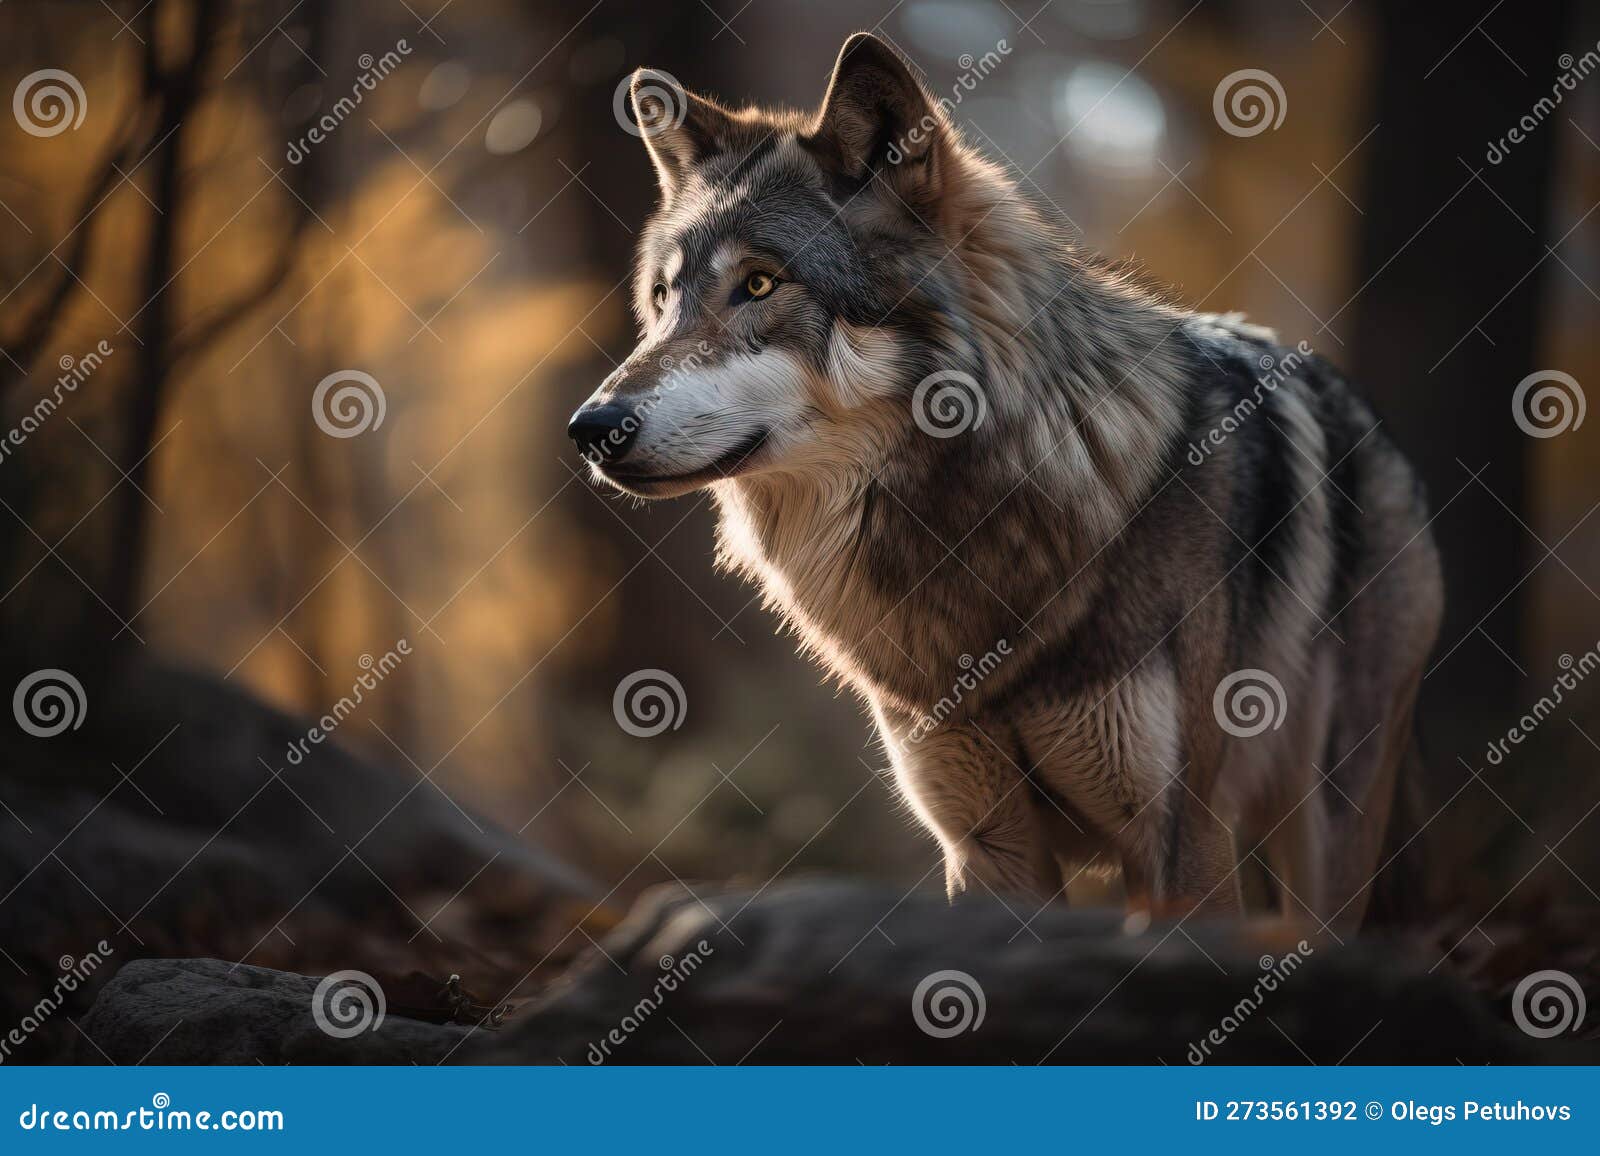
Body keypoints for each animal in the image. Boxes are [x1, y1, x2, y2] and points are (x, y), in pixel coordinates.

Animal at [569, 33, 1443, 926]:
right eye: (663, 298)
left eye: (758, 283)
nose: (591, 429)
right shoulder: (984, 845)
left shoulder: (1180, 842)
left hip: (1323, 834)